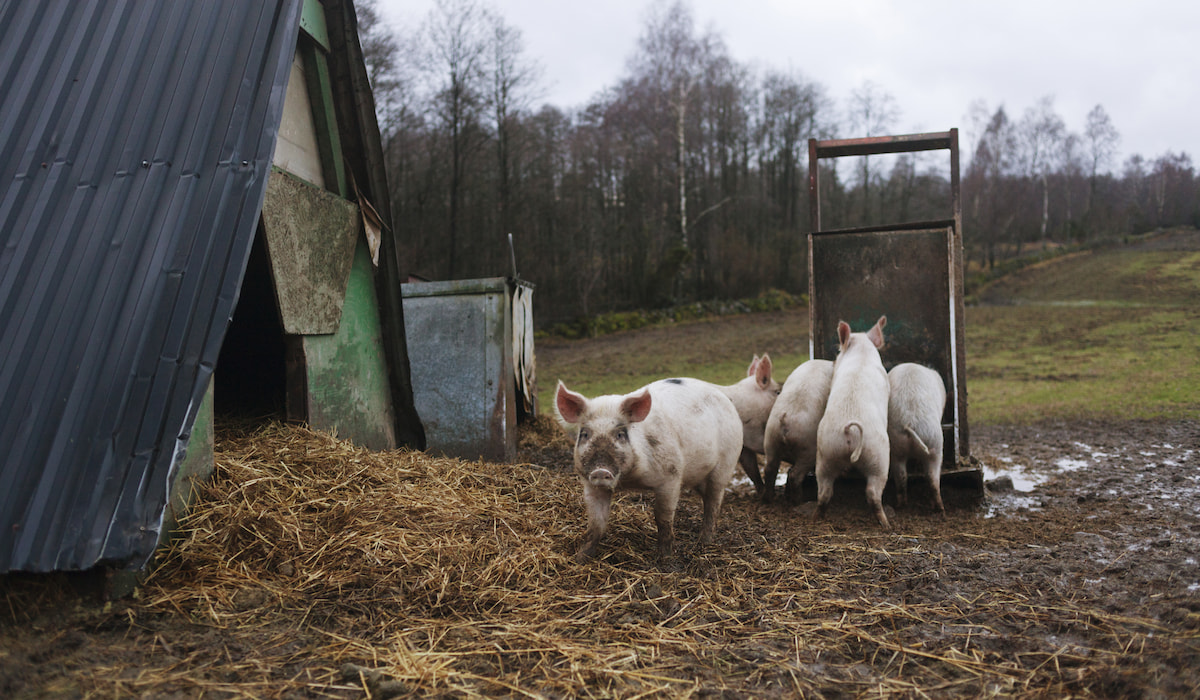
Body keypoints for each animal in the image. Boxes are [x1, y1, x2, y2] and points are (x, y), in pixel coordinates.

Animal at [555, 377, 743, 562]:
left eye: (620, 434)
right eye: (585, 434)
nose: (601, 471)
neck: (630, 479)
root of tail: (723, 396)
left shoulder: (671, 476)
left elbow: (663, 517)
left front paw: (665, 558)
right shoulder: (591, 486)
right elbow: (596, 523)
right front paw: (580, 559)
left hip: (726, 464)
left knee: (713, 503)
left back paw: (704, 542)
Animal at [761, 359, 834, 503]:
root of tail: (785, 420)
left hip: (770, 440)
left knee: (769, 469)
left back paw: (769, 498)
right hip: (807, 449)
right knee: (795, 475)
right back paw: (798, 500)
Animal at [814, 316, 892, 529]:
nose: (834, 360)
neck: (862, 355)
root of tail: (850, 430)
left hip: (825, 453)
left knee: (824, 492)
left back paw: (816, 518)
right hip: (879, 457)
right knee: (873, 492)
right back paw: (886, 525)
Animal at [887, 362, 948, 513]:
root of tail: (910, 423)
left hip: (898, 445)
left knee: (902, 476)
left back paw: (901, 505)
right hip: (936, 445)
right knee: (932, 477)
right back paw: (939, 508)